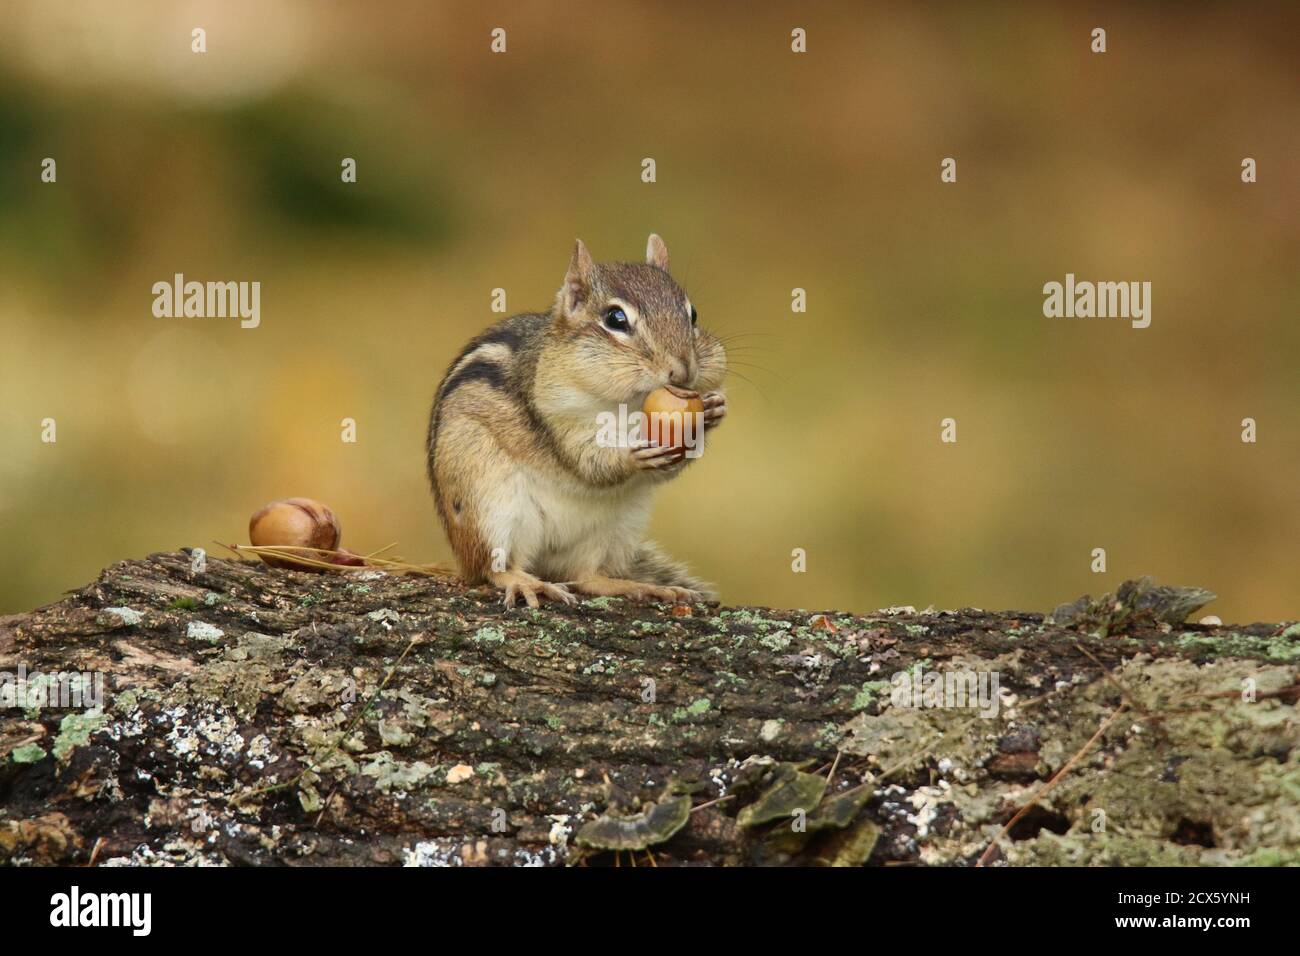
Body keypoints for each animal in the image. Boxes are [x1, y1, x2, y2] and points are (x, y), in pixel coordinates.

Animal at [426, 234, 727, 608]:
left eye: (693, 313)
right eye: (615, 319)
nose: (683, 370)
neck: (627, 406)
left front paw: (712, 411)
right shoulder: (556, 417)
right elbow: (587, 462)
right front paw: (631, 456)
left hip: (617, 527)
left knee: (586, 577)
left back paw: (640, 586)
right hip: (485, 502)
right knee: (492, 568)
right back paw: (523, 581)